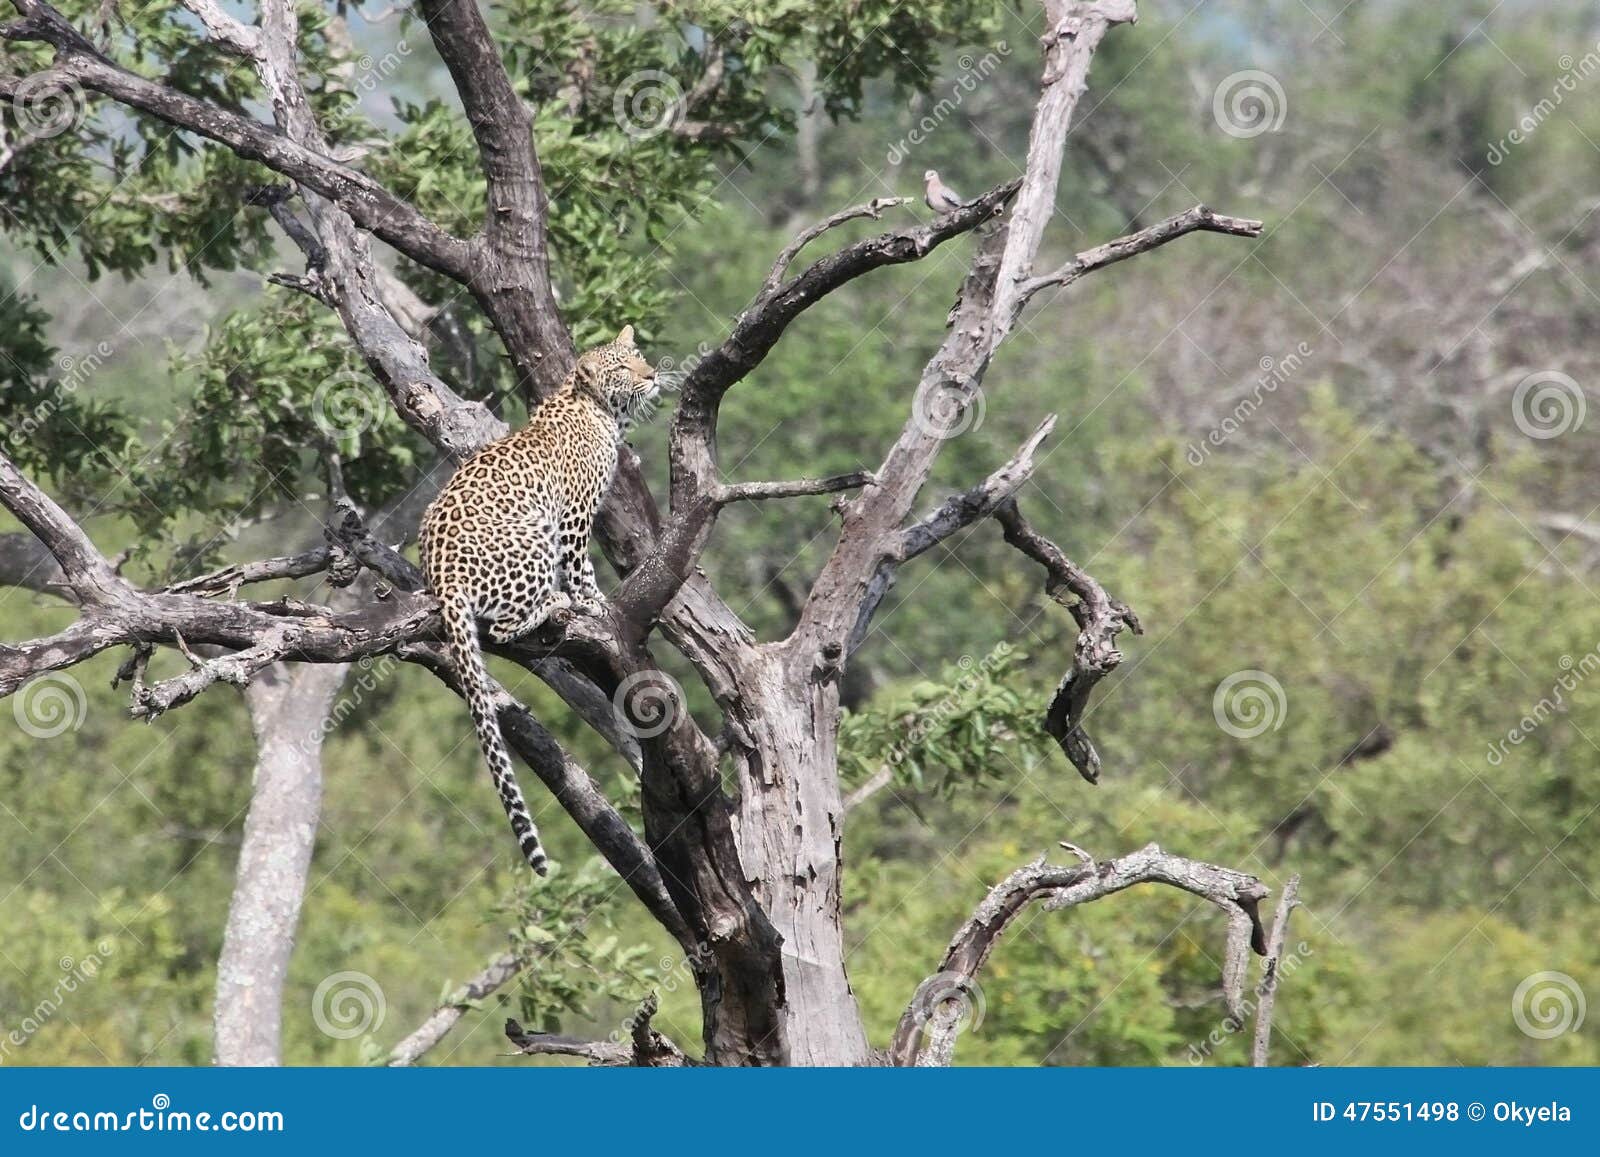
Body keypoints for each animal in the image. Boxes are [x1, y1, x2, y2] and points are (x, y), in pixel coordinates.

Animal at [419, 325, 659, 875]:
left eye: (638, 356)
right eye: (622, 368)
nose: (654, 375)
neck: (596, 406)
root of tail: (440, 576)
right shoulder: (573, 515)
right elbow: (581, 567)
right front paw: (595, 603)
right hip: (533, 533)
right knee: (502, 625)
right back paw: (555, 605)